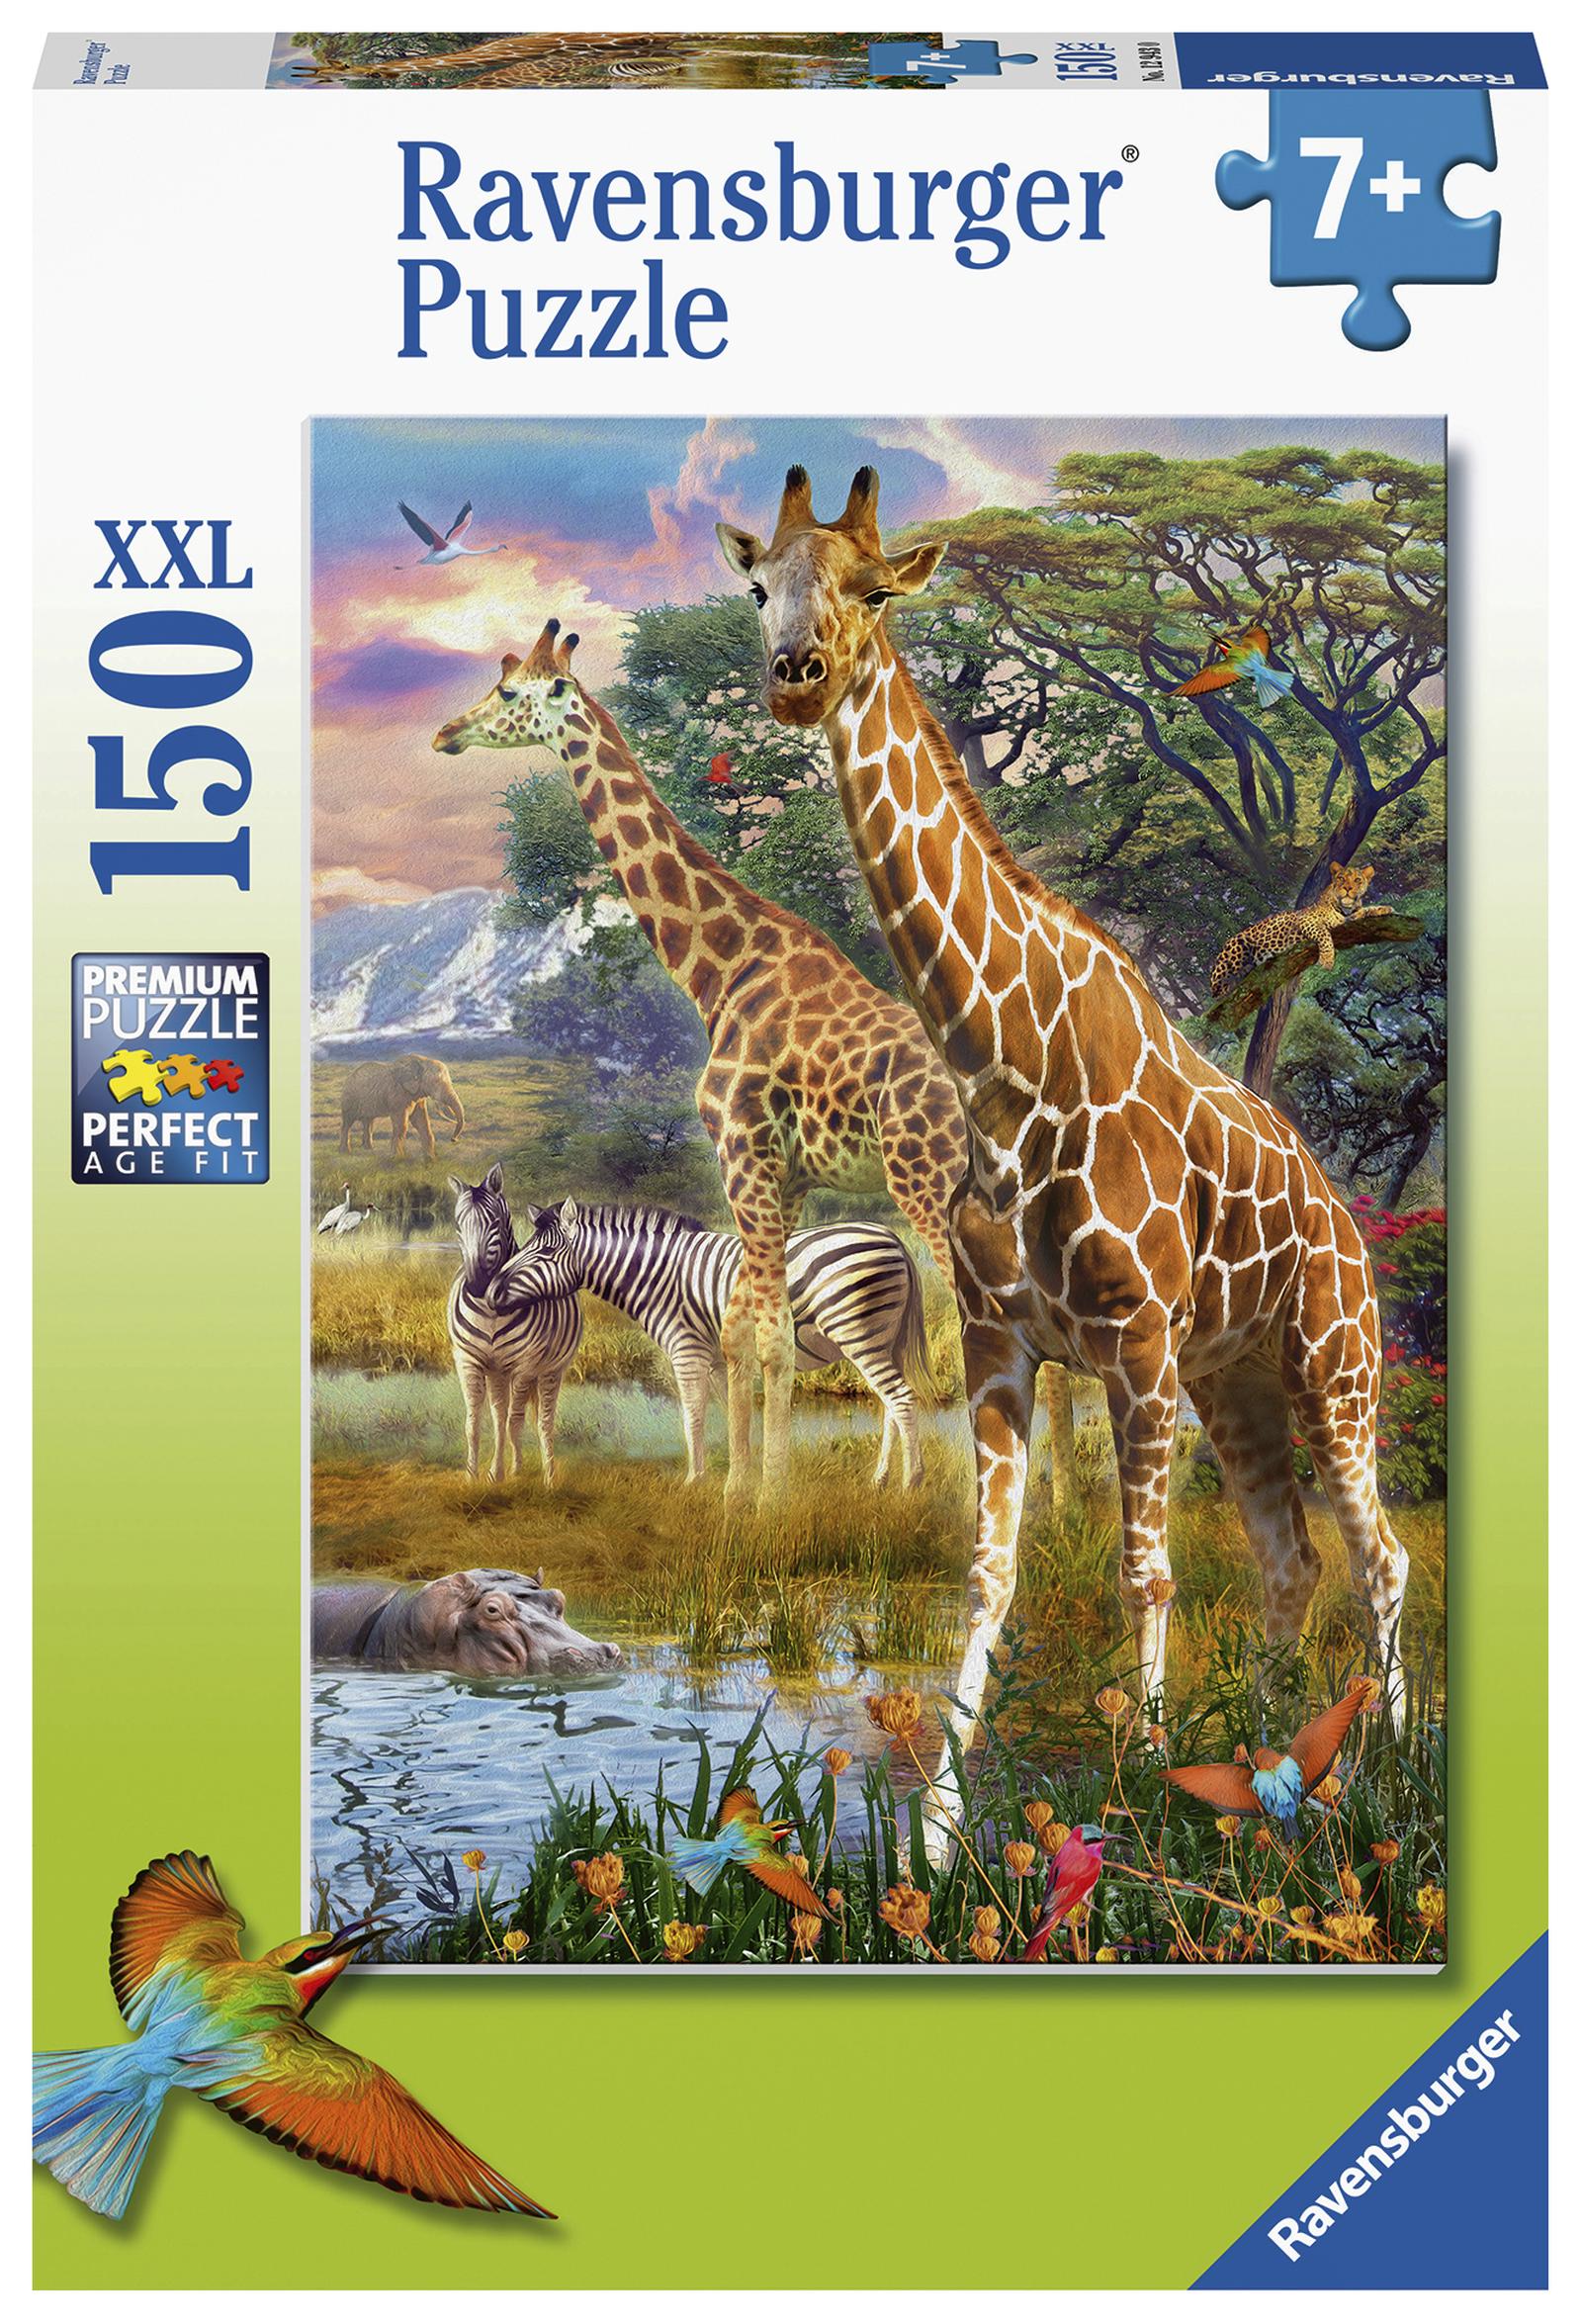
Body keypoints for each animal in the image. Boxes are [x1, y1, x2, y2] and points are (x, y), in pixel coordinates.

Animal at [432, 619, 975, 1503]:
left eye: (509, 692)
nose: (446, 733)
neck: (722, 972)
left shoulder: (741, 1152)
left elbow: (763, 1335)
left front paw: (764, 1498)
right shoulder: (783, 1176)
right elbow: (749, 1327)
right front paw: (741, 1486)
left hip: (929, 1180)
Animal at [721, 466, 1407, 1849]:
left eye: (874, 590)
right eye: (759, 587)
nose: (798, 675)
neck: (1004, 1071)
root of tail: (1350, 1233)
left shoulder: (1134, 1342)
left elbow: (1143, 1570)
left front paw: (1136, 1797)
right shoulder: (1003, 1344)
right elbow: (987, 1574)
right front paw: (937, 1841)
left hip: (1331, 1362)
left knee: (1381, 1555)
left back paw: (1384, 1775)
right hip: (1237, 1383)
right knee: (1291, 1556)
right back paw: (1275, 1772)